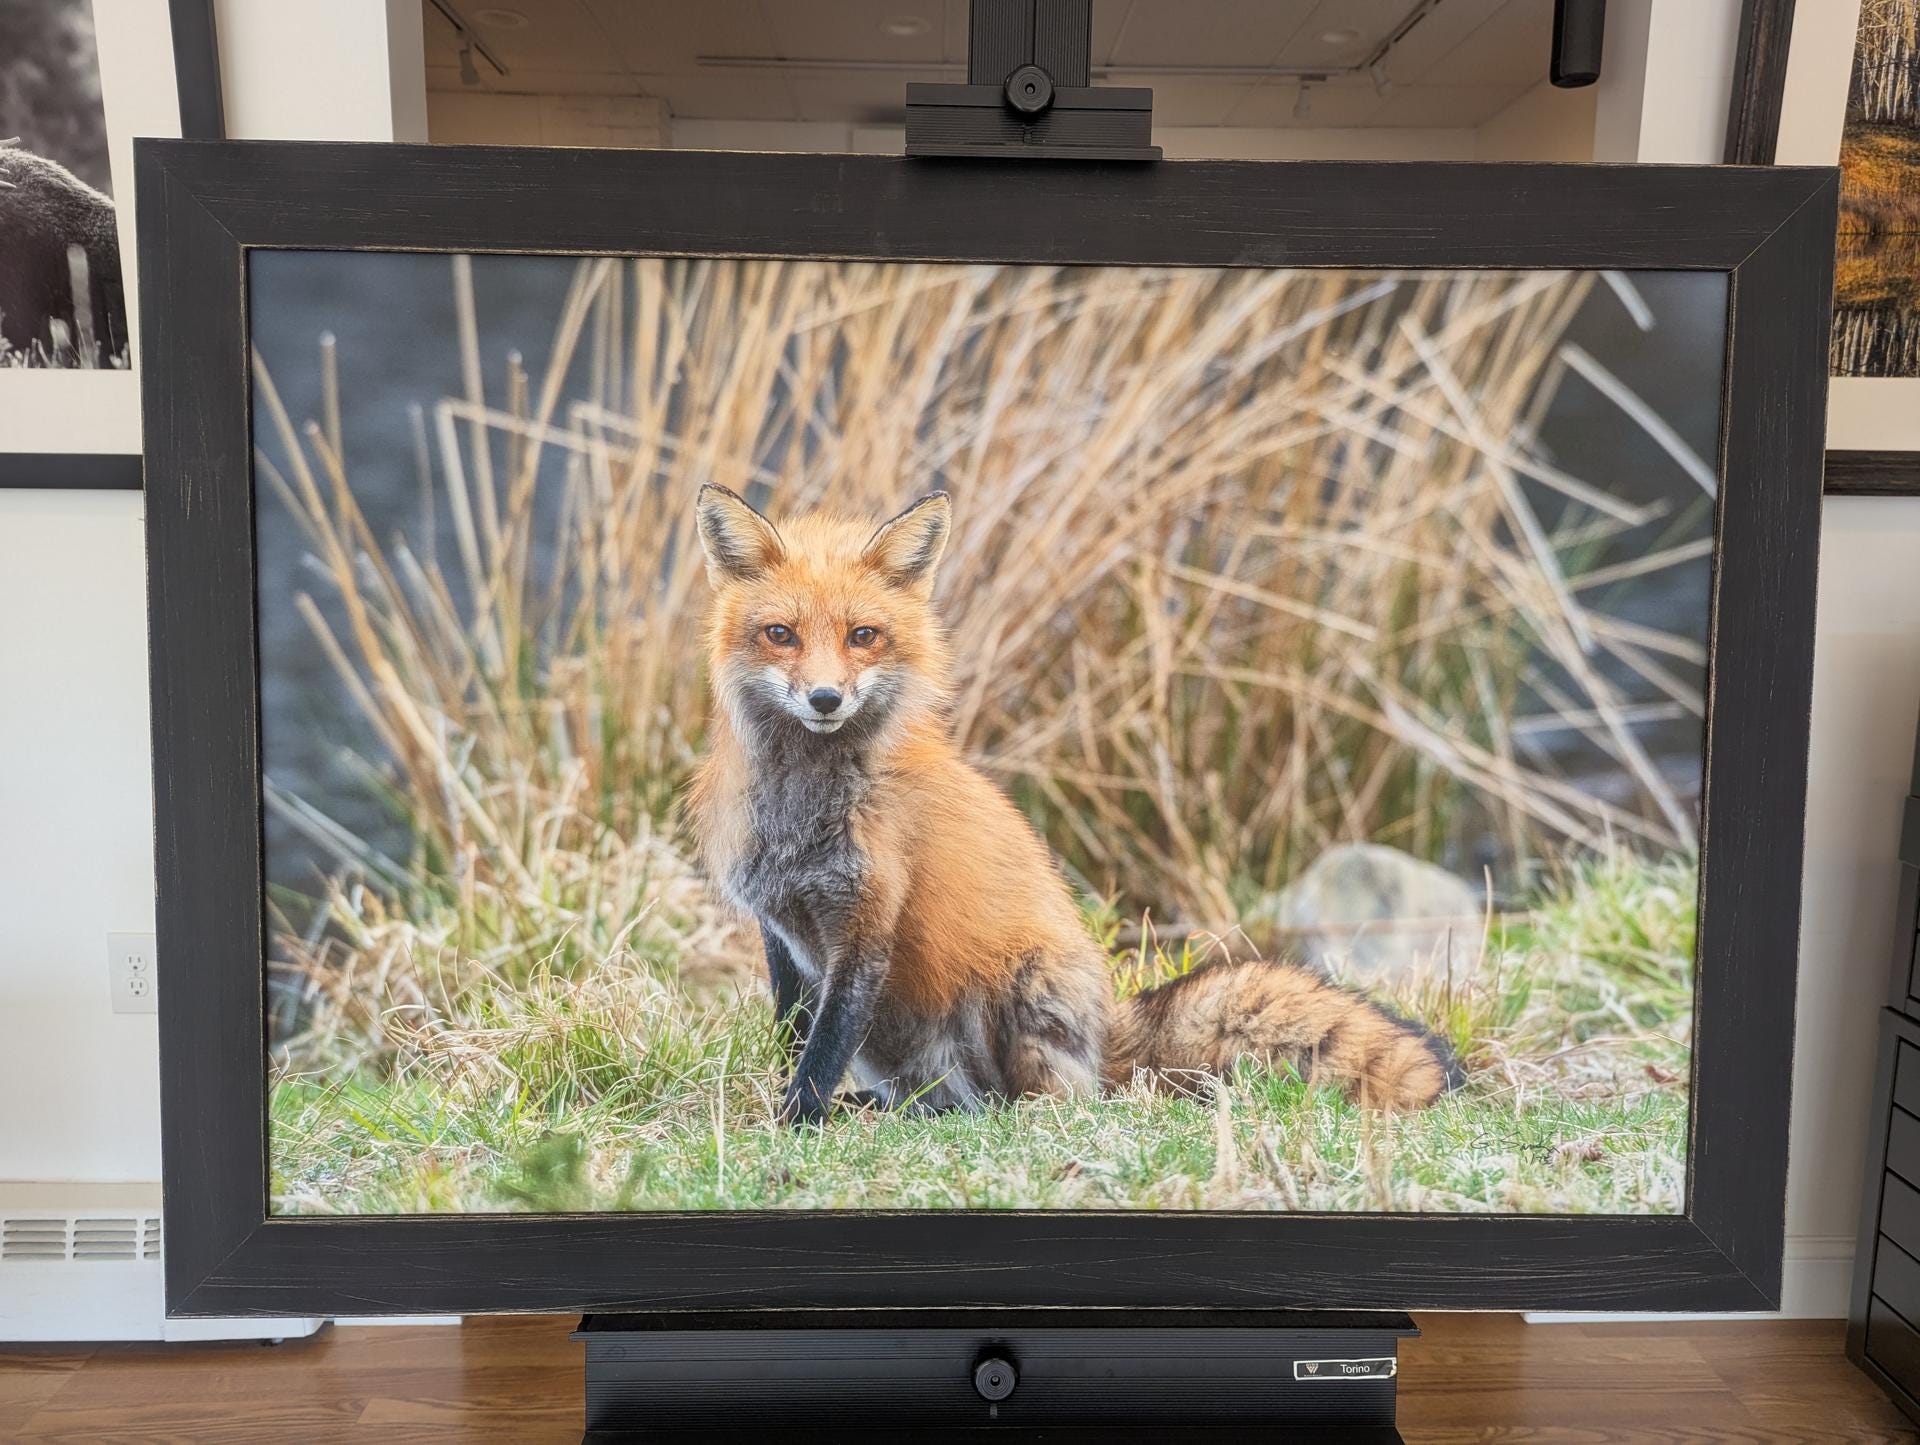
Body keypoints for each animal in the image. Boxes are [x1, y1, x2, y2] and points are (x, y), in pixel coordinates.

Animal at [687, 483, 1463, 1125]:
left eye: (862, 636)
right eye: (781, 634)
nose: (825, 699)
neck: (803, 816)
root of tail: (1107, 1035)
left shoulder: (867, 925)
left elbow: (821, 1052)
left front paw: (795, 1121)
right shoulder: (781, 926)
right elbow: (794, 1035)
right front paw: (787, 1104)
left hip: (1020, 987)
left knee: (1010, 1101)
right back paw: (876, 1107)